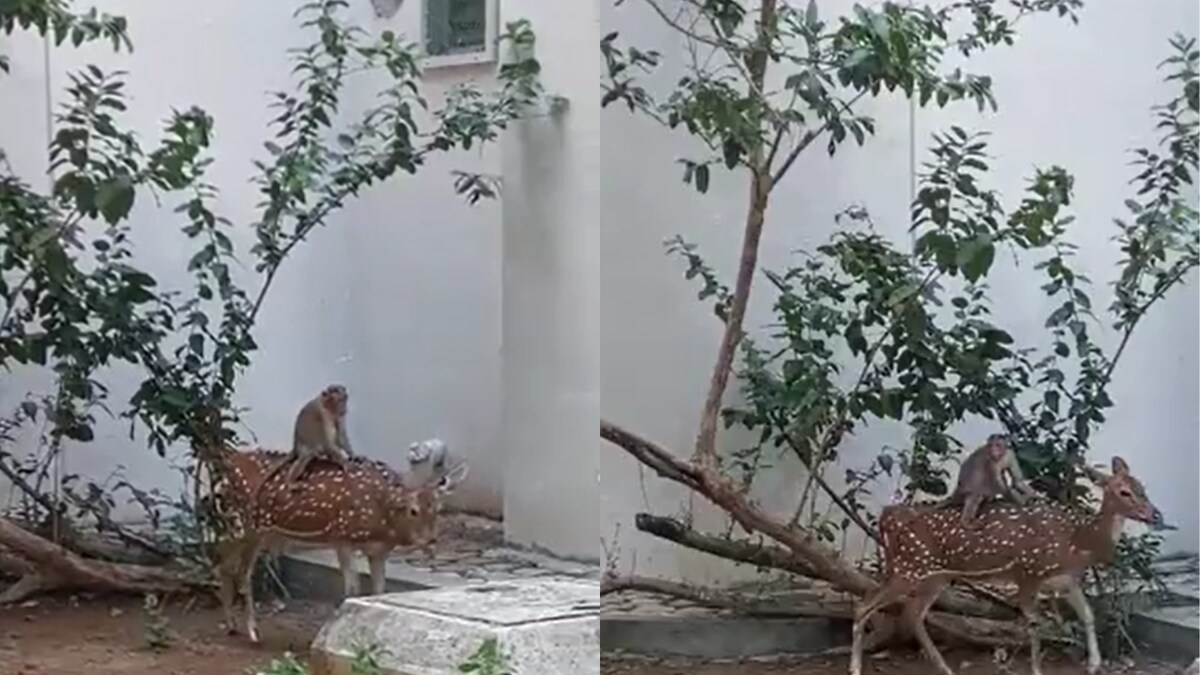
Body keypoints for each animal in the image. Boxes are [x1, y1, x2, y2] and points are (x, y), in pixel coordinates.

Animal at [210, 446, 468, 642]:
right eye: (413, 510)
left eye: (439, 509)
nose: (431, 540)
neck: (383, 521)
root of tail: (226, 465)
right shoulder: (342, 537)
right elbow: (352, 590)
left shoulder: (379, 551)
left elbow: (378, 592)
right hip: (246, 524)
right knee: (240, 569)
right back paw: (252, 631)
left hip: (257, 532)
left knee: (224, 562)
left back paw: (232, 625)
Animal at [850, 455, 1166, 675]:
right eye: (1124, 492)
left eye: (1143, 487)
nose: (1155, 515)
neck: (1078, 542)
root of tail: (886, 516)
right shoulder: (1028, 573)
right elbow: (1035, 623)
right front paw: (1037, 669)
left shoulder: (1065, 581)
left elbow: (1087, 615)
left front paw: (1094, 665)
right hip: (909, 567)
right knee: (865, 605)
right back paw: (855, 667)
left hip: (934, 576)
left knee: (913, 614)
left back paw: (945, 668)